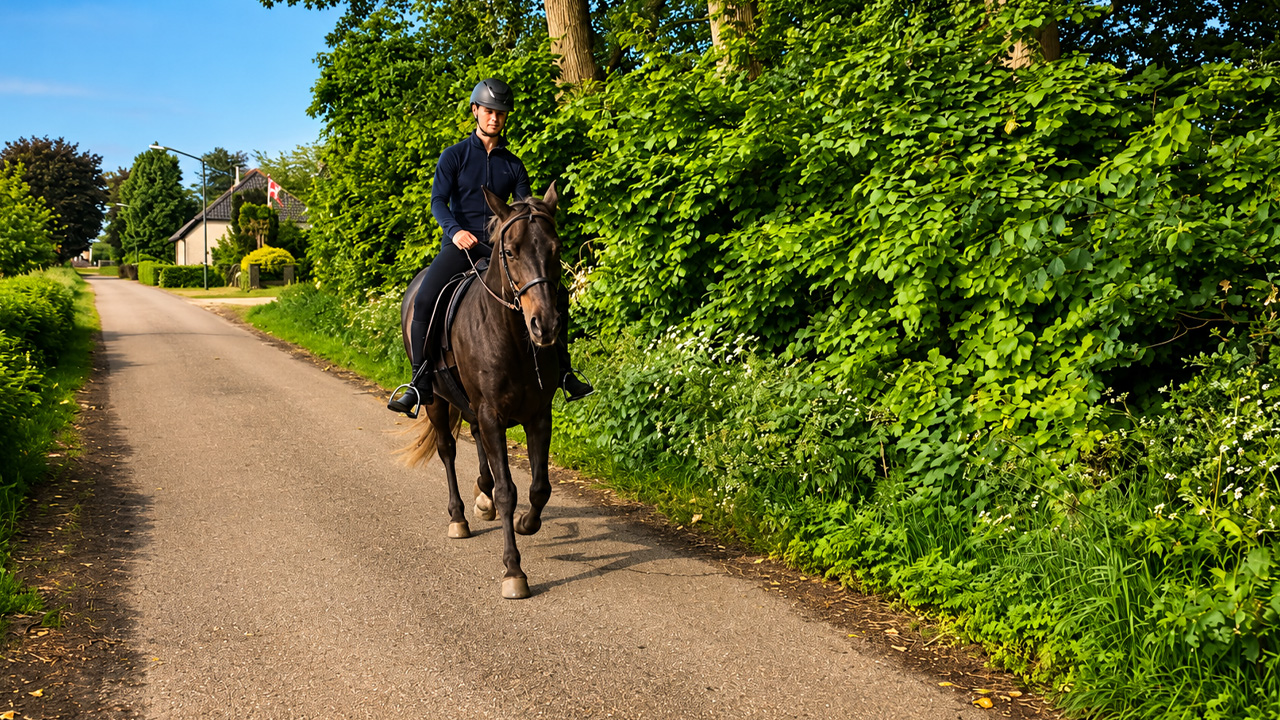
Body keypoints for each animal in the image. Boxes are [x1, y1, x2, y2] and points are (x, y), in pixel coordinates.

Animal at [399, 183, 563, 600]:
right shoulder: (491, 412)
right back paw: (458, 517)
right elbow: (509, 490)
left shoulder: (539, 414)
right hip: (437, 401)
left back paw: (481, 497)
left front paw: (525, 523)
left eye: (555, 249)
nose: (545, 325)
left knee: (476, 443)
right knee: (448, 451)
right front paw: (513, 571)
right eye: (511, 251)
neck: (512, 338)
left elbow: (539, 487)